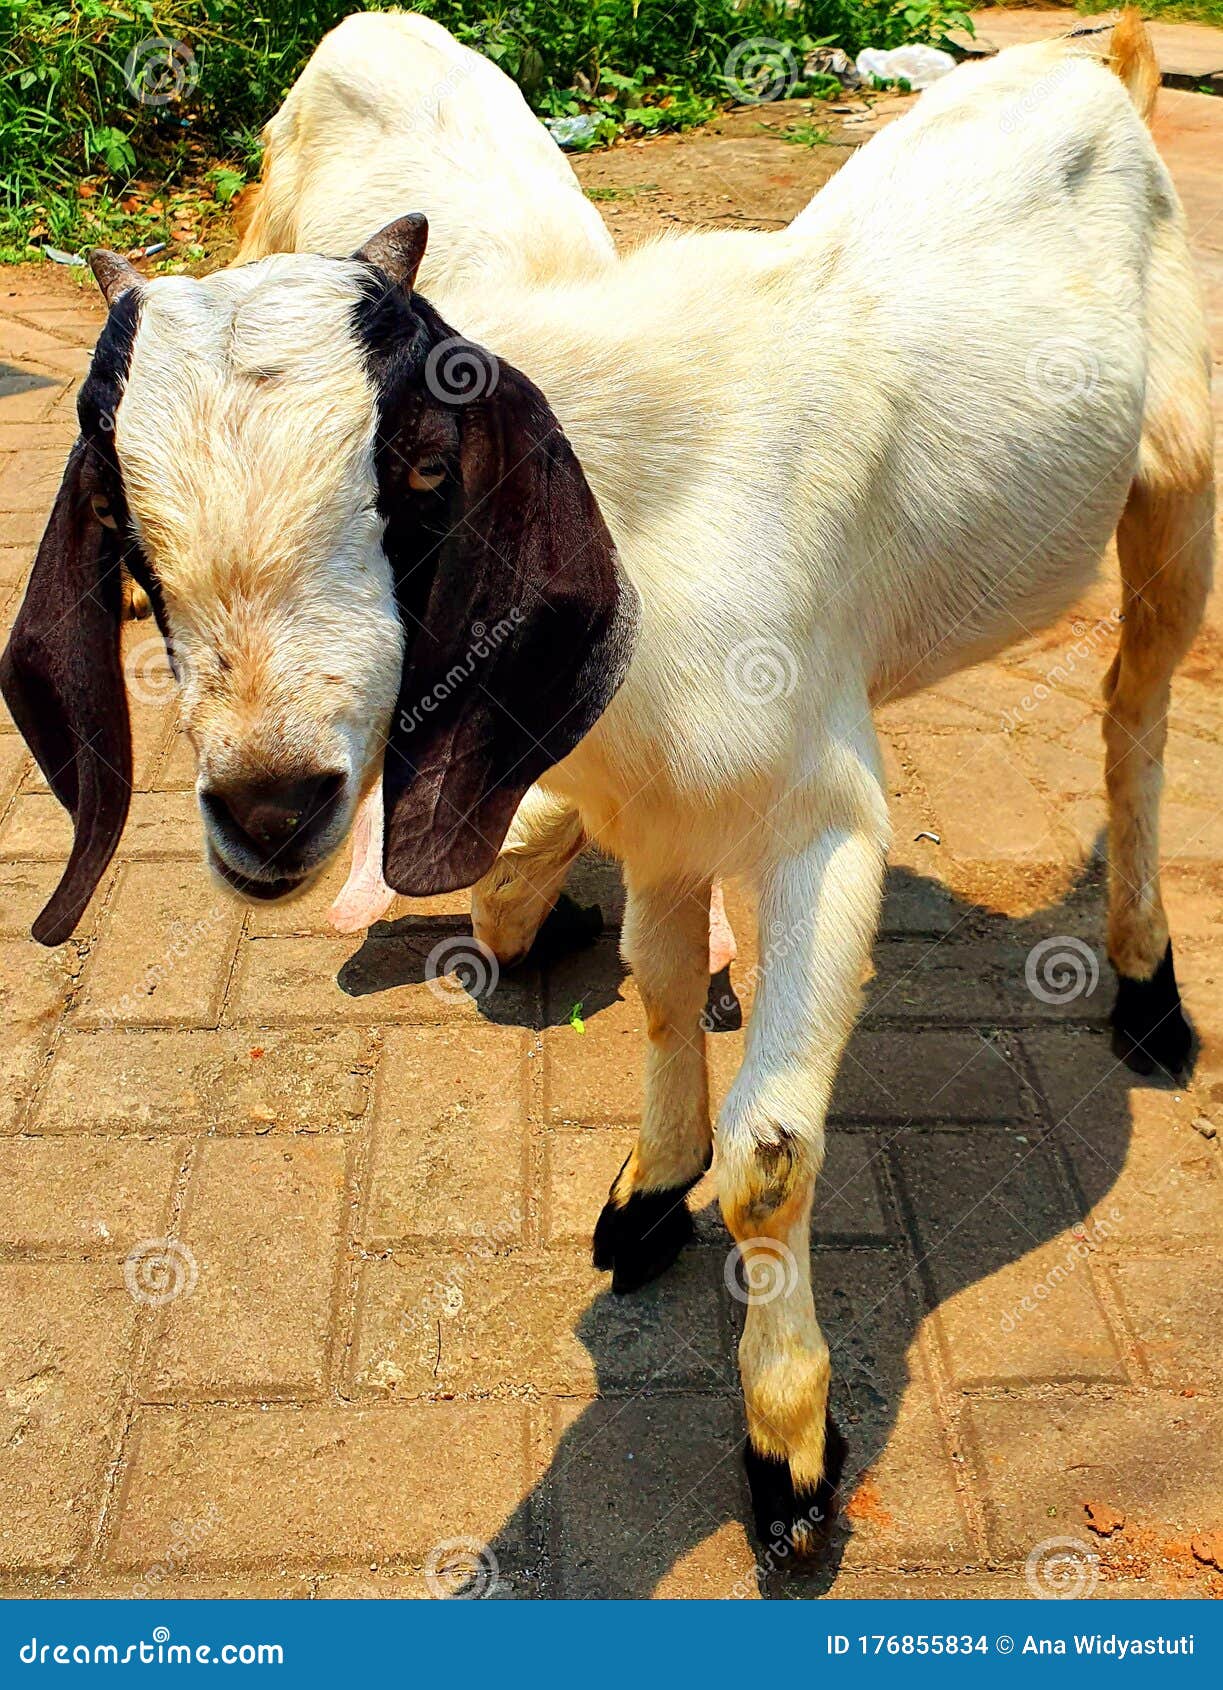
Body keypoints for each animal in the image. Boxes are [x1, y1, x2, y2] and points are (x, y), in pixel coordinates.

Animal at [3, 14, 1212, 1557]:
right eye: (121, 520)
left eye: (420, 472)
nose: (269, 806)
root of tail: (1098, 72)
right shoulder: (656, 809)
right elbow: (651, 988)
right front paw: (649, 1185)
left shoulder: (824, 824)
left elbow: (772, 1156)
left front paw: (788, 1454)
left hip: (1177, 482)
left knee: (1132, 710)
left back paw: (1146, 989)